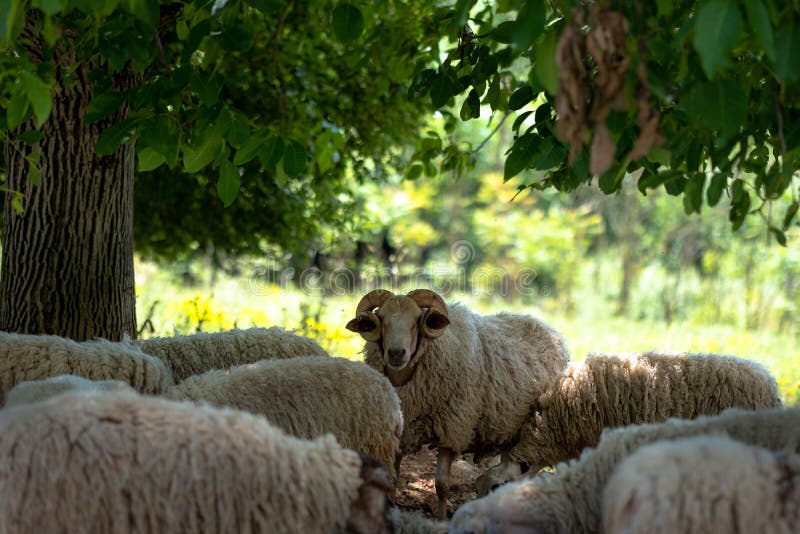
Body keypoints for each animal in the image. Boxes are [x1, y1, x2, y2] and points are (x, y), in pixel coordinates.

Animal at [346, 288, 570, 518]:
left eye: (417, 321)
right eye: (381, 318)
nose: (396, 353)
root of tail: (546, 327)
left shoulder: (452, 428)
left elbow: (441, 484)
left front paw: (441, 518)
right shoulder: (402, 430)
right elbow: (393, 478)